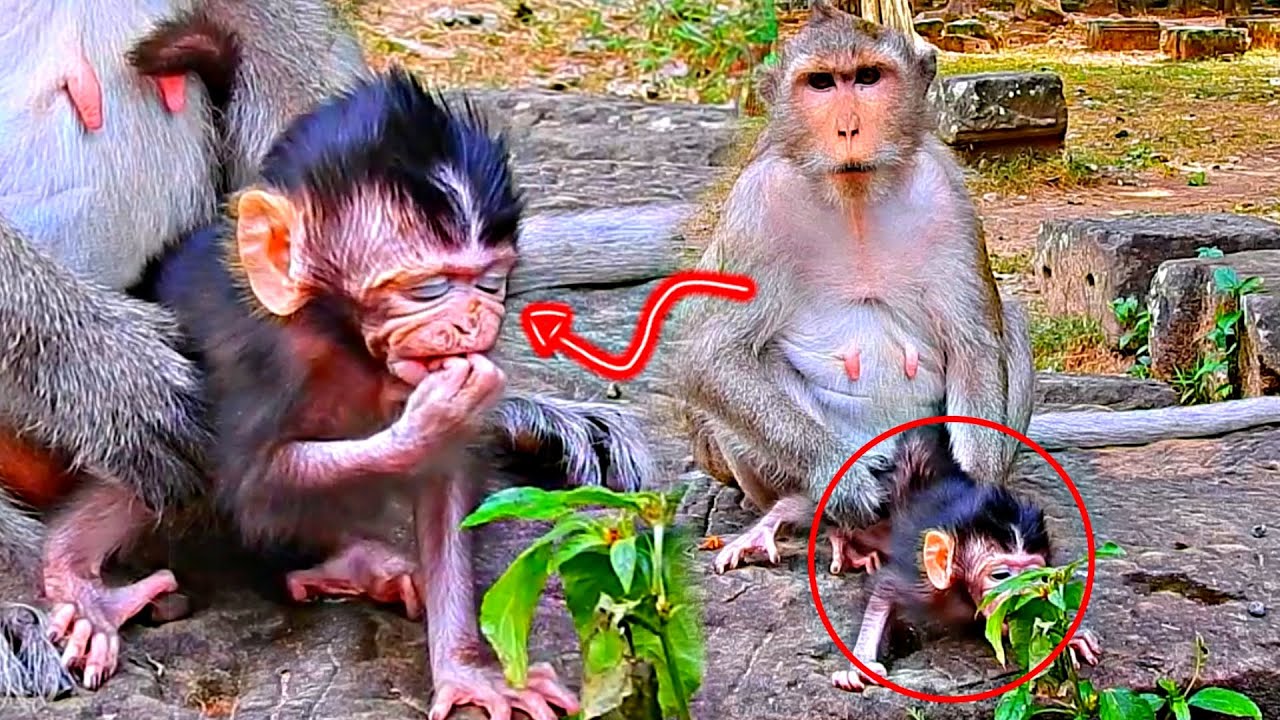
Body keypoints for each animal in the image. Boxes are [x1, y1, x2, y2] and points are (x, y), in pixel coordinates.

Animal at [666, 0, 1036, 577]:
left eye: (867, 78)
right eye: (821, 83)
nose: (848, 128)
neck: (857, 192)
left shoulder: (947, 191)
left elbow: (975, 344)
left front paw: (975, 504)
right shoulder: (755, 207)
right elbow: (710, 359)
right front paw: (838, 482)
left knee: (1010, 322)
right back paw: (808, 516)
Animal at [828, 426, 1101, 693]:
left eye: (1032, 577)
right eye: (1000, 576)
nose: (1020, 594)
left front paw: (1070, 636)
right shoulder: (923, 585)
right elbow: (883, 588)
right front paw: (859, 667)